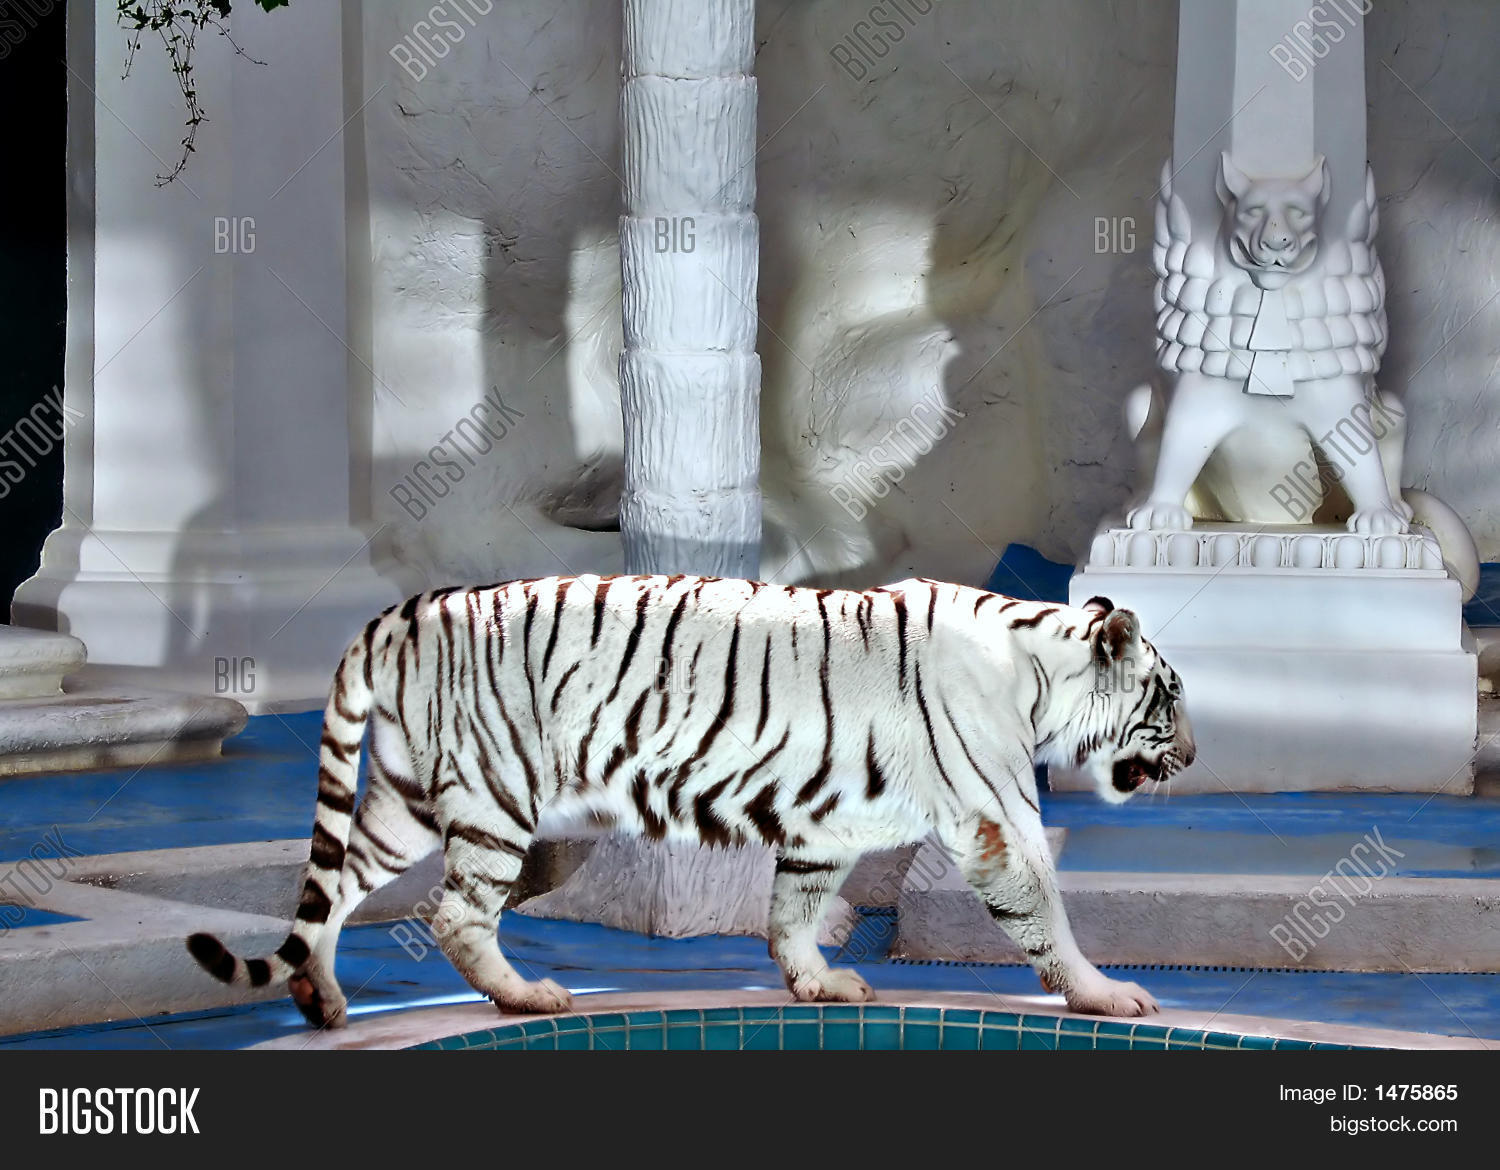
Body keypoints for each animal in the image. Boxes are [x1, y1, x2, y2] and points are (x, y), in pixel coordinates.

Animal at [188, 574, 1194, 1026]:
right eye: (1170, 700)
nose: (1192, 753)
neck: (1042, 673)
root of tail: (400, 613)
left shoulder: (826, 824)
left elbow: (794, 908)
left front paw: (815, 981)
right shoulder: (996, 818)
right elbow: (1047, 912)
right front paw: (1108, 993)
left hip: (399, 799)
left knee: (334, 887)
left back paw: (322, 998)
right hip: (495, 795)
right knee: (456, 914)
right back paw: (527, 996)